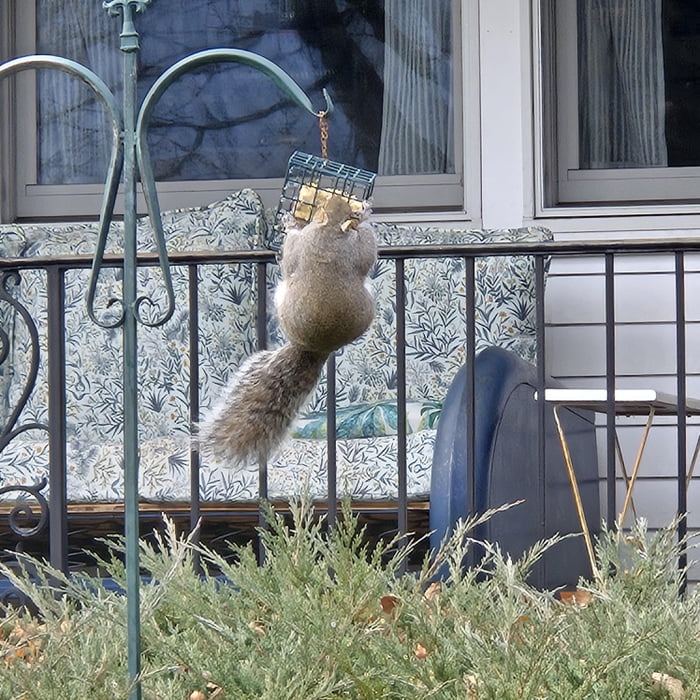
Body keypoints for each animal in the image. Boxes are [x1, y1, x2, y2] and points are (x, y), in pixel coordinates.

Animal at [199, 194, 377, 465]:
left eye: (339, 207)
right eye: (326, 205)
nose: (351, 206)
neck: (331, 231)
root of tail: (316, 347)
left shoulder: (323, 245)